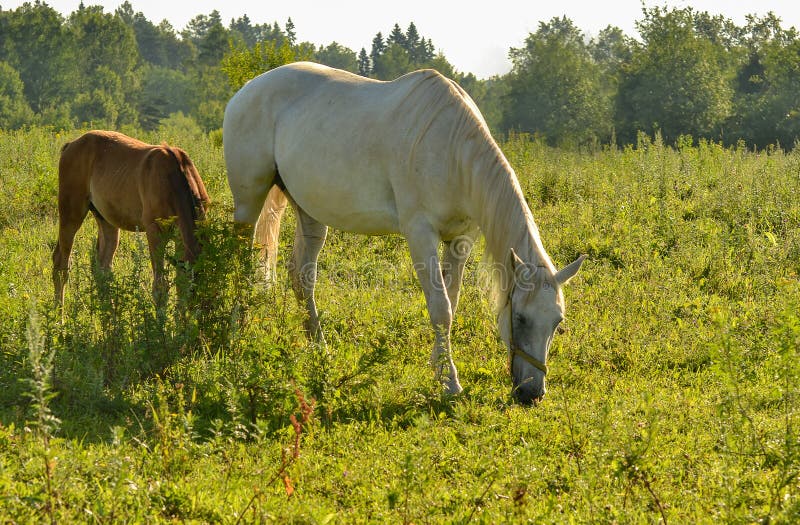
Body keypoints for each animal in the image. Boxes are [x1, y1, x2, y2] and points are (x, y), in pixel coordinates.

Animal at [52, 130, 210, 305]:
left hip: (106, 220)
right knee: (61, 264)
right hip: (71, 213)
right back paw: (59, 312)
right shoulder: (154, 232)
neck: (173, 179)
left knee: (103, 269)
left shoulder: (180, 237)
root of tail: (70, 145)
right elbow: (160, 287)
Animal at [223, 62, 585, 404]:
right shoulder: (420, 233)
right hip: (249, 203)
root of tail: (247, 90)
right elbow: (440, 307)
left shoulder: (461, 239)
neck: (452, 151)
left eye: (557, 322)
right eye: (520, 318)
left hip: (310, 213)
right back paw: (235, 333)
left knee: (302, 277)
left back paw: (319, 349)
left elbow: (450, 303)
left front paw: (440, 368)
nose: (532, 394)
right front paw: (449, 383)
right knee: (240, 264)